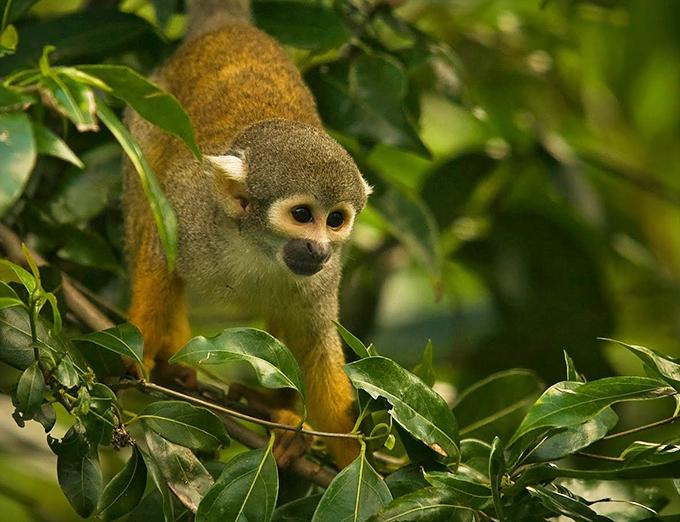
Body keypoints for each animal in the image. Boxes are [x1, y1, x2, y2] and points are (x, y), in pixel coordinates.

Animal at [122, 0, 370, 469]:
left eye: (335, 220)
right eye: (302, 215)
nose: (319, 248)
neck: (257, 248)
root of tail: (229, 25)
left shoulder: (324, 277)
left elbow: (315, 343)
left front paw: (357, 461)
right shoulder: (192, 213)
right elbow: (160, 253)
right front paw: (138, 354)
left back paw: (276, 410)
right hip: (145, 109)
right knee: (145, 193)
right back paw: (172, 353)